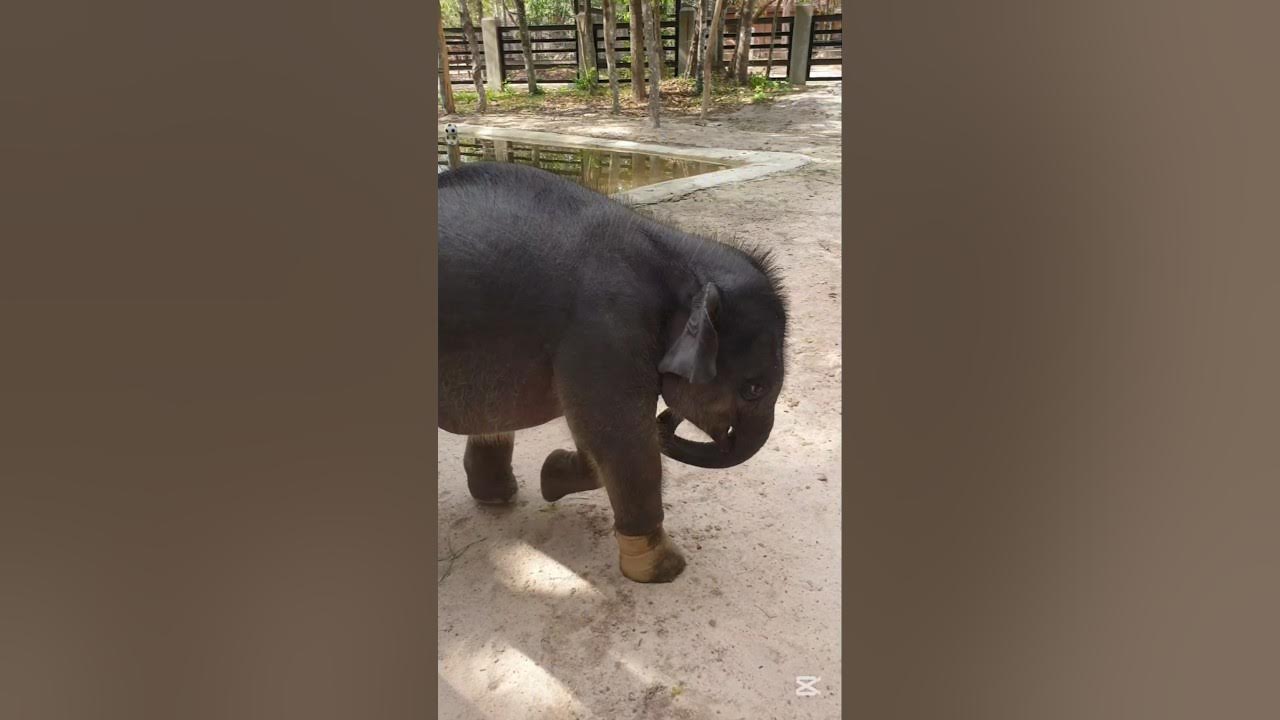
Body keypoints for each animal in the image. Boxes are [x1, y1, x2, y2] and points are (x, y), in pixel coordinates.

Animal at [438, 162, 788, 583]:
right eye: (754, 389)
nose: (667, 418)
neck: (671, 249)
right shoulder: (607, 330)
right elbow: (620, 438)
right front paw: (664, 569)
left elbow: (594, 439)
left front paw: (548, 476)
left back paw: (499, 497)